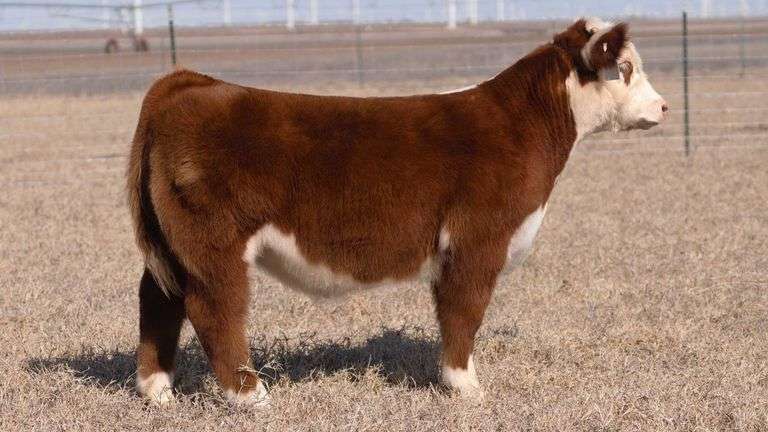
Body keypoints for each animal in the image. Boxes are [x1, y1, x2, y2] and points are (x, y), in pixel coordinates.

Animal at [128, 17, 667, 406]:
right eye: (625, 68)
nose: (663, 107)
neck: (522, 125)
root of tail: (190, 82)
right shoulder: (477, 241)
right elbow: (464, 311)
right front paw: (465, 386)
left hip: (171, 247)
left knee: (158, 299)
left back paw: (157, 391)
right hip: (213, 243)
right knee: (214, 308)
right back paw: (250, 395)